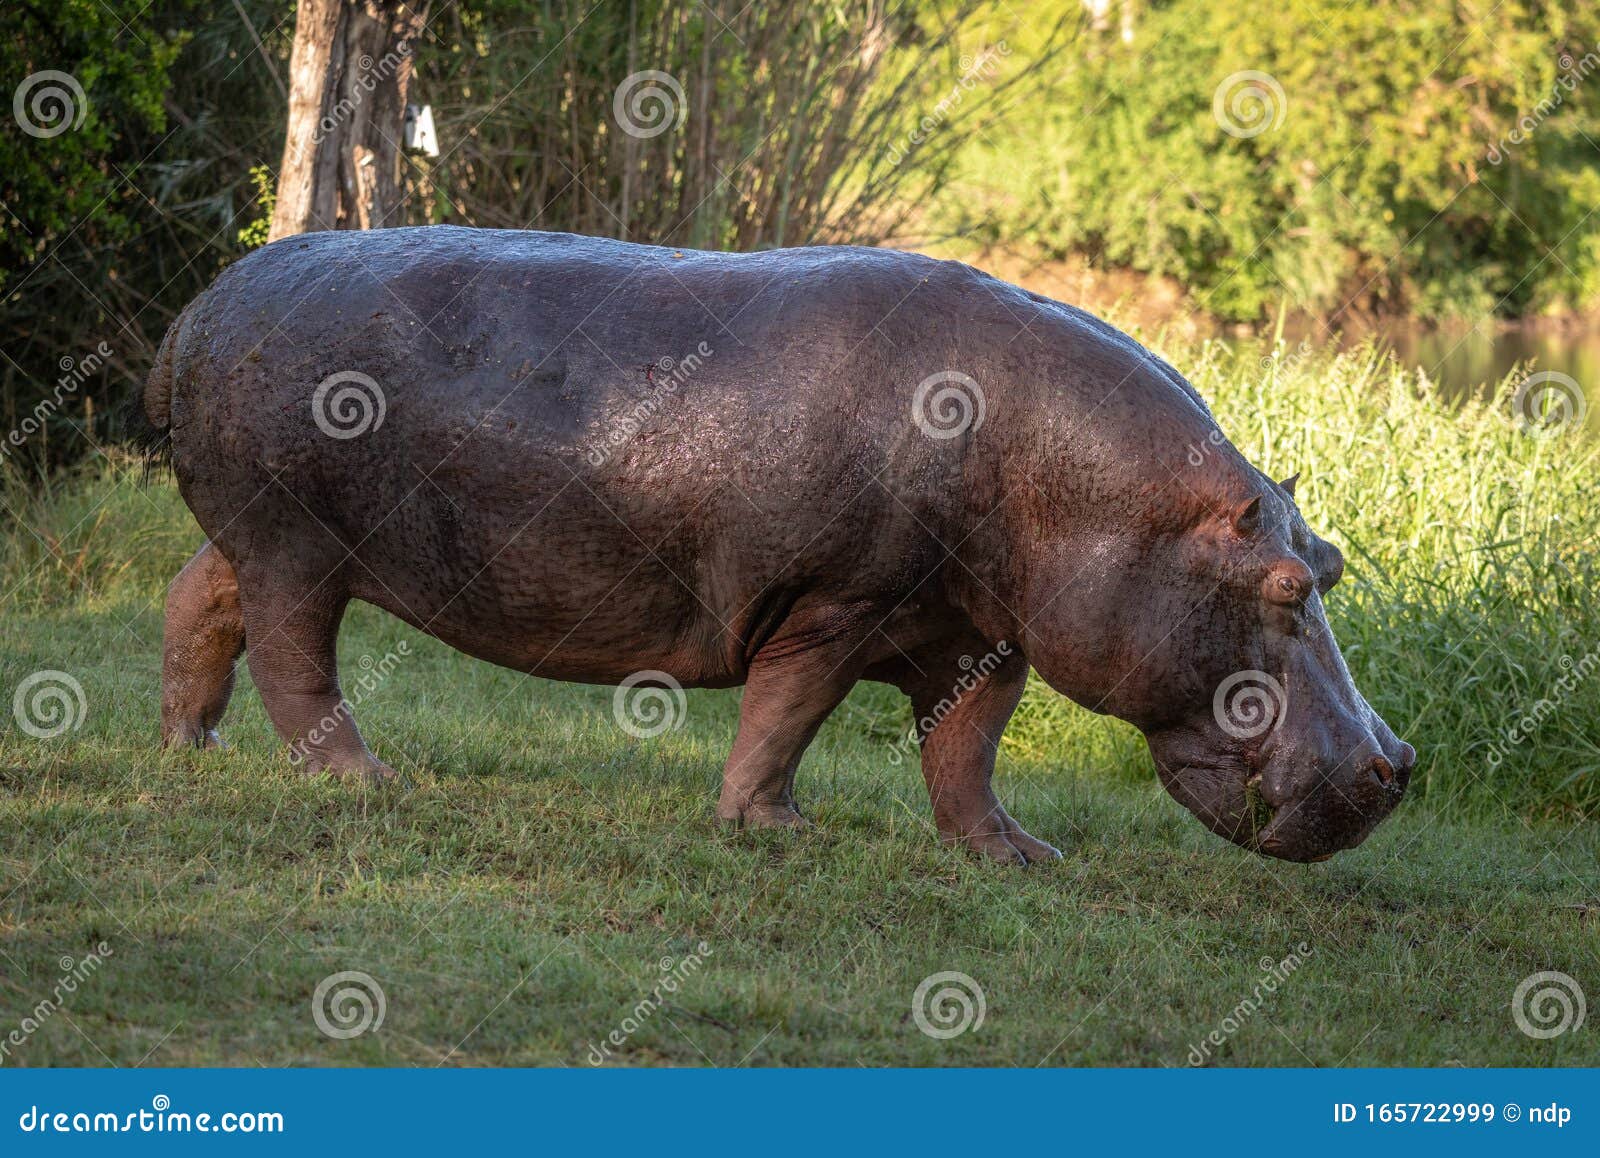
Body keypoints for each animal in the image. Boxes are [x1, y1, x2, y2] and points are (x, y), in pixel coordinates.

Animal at [146, 225, 1412, 864]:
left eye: (1335, 565)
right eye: (1285, 587)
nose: (1393, 769)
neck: (1093, 493)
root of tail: (199, 307)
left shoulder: (982, 634)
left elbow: (969, 749)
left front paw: (1016, 855)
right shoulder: (836, 601)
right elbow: (789, 712)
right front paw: (772, 829)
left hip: (258, 536)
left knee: (197, 603)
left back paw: (188, 748)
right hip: (299, 544)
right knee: (296, 661)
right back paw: (363, 781)